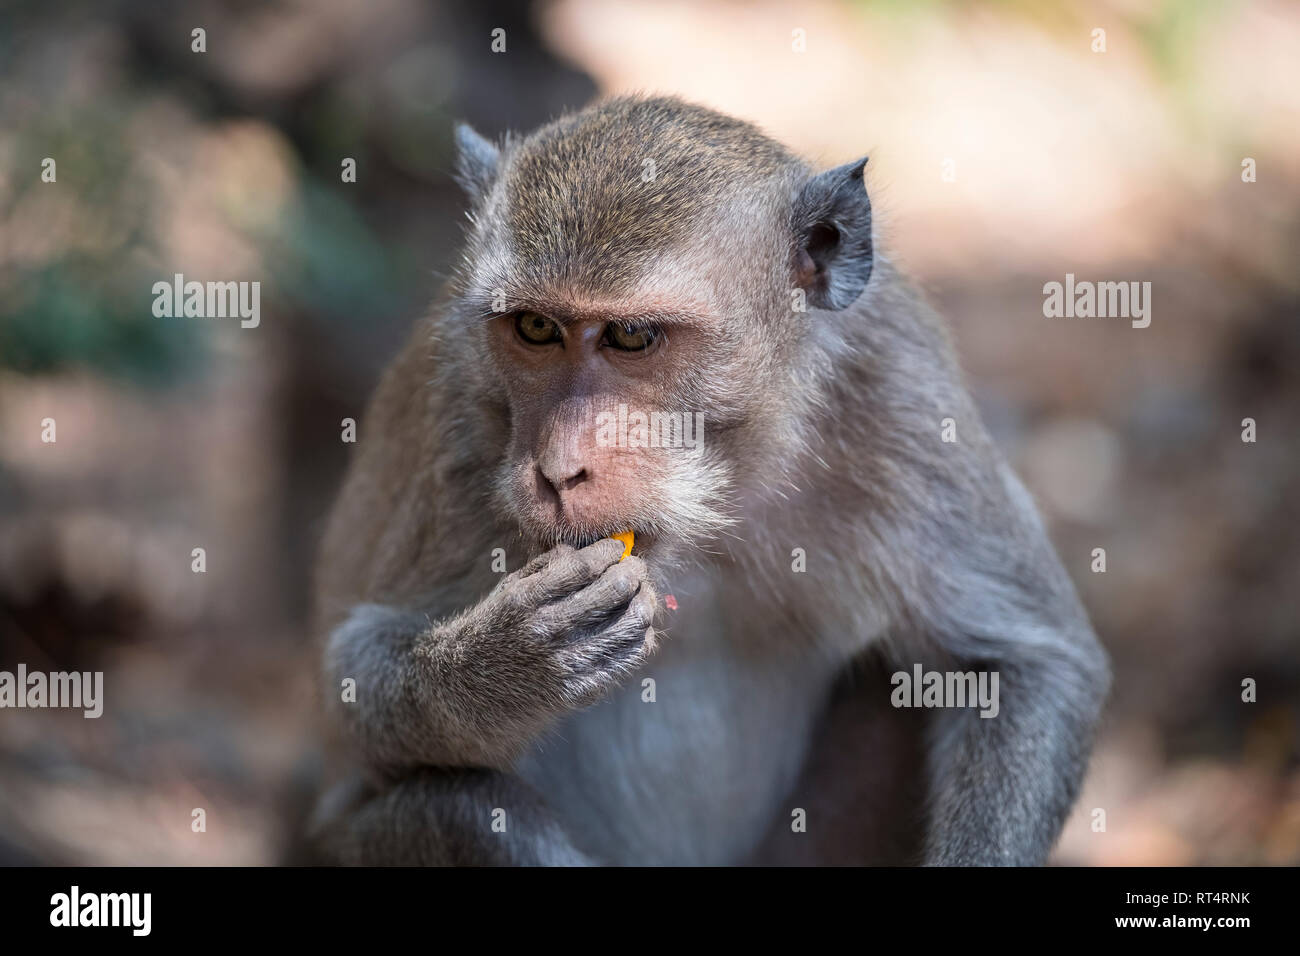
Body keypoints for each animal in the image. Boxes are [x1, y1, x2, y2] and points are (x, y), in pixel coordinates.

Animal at [308, 94, 1110, 866]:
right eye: (536, 329)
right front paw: (507, 662)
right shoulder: (455, 411)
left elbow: (1022, 663)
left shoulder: (900, 389)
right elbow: (345, 696)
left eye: (632, 337)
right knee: (459, 810)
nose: (560, 467)